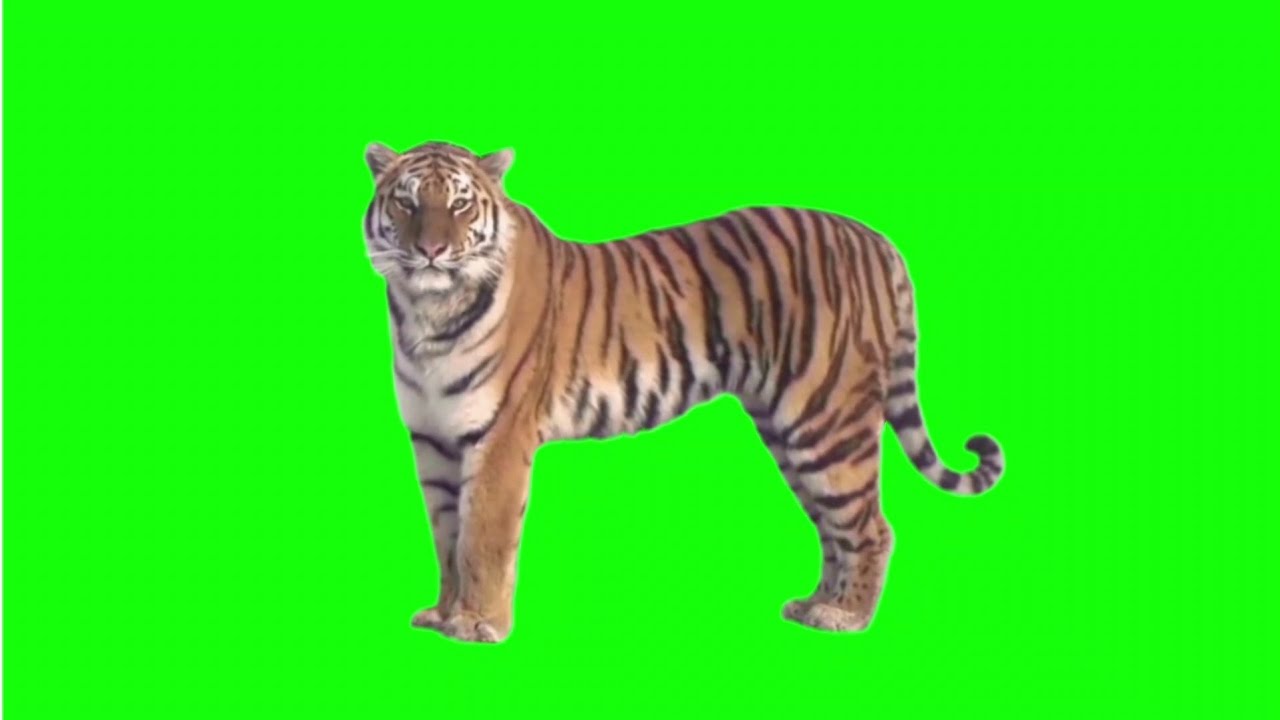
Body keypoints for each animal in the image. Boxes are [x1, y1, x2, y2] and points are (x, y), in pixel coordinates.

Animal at [362, 140, 1005, 643]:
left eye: (460, 203)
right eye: (406, 201)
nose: (431, 251)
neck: (425, 312)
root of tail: (875, 237)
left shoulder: (499, 436)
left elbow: (483, 538)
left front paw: (477, 624)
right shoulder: (432, 440)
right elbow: (446, 536)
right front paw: (443, 614)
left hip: (827, 418)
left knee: (871, 526)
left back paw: (845, 617)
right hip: (791, 431)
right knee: (834, 525)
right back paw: (815, 605)